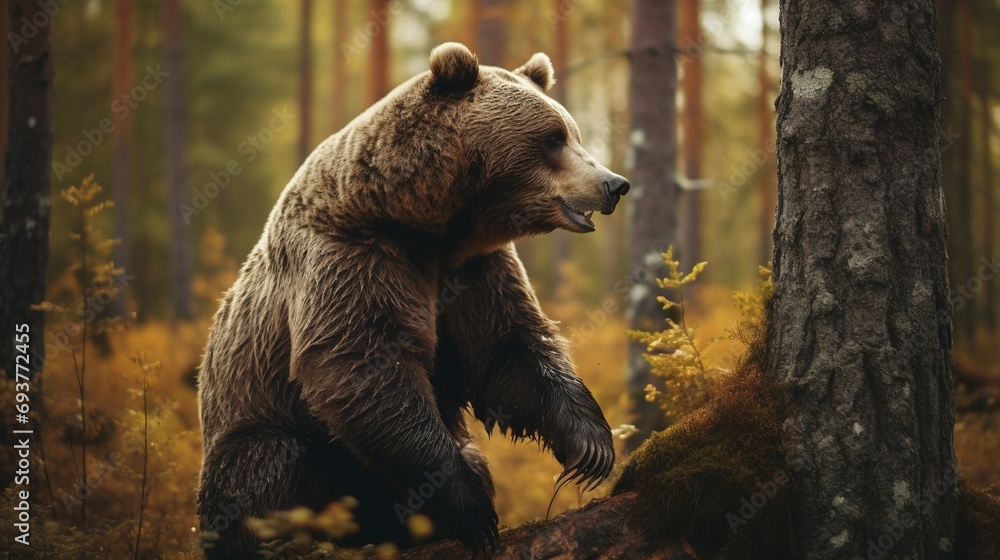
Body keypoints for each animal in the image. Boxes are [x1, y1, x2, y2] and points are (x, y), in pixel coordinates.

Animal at [197, 42, 630, 558]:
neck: (426, 223)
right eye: (553, 138)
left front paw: (592, 446)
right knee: (268, 471)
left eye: (573, 134)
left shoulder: (471, 270)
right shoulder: (354, 257)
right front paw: (473, 511)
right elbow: (364, 366)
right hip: (254, 421)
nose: (615, 184)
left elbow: (508, 347)